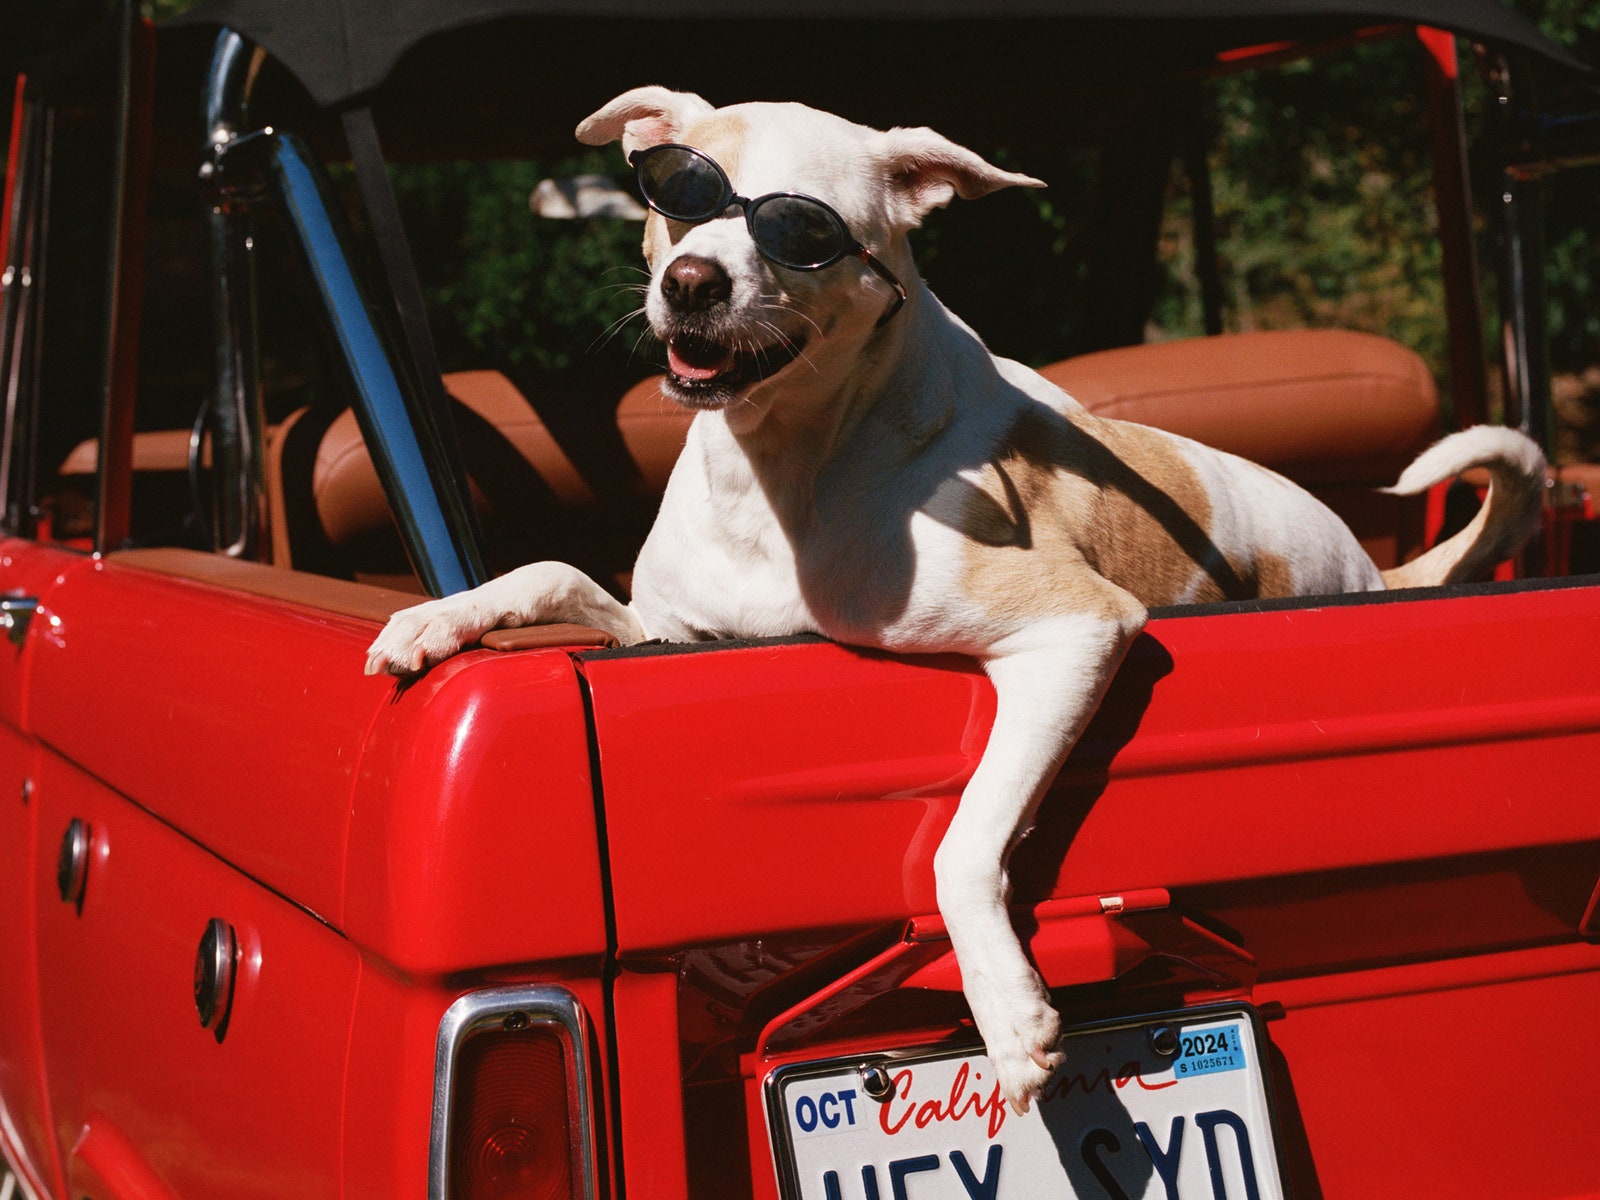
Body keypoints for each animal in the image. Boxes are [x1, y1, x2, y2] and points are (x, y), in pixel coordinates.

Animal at [366, 89, 1548, 1113]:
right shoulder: (665, 633)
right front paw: (437, 617)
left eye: (806, 230)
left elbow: (963, 841)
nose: (693, 283)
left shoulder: (1075, 633)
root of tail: (1375, 570)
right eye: (682, 190)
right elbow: (557, 576)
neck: (782, 470)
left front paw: (1008, 1009)